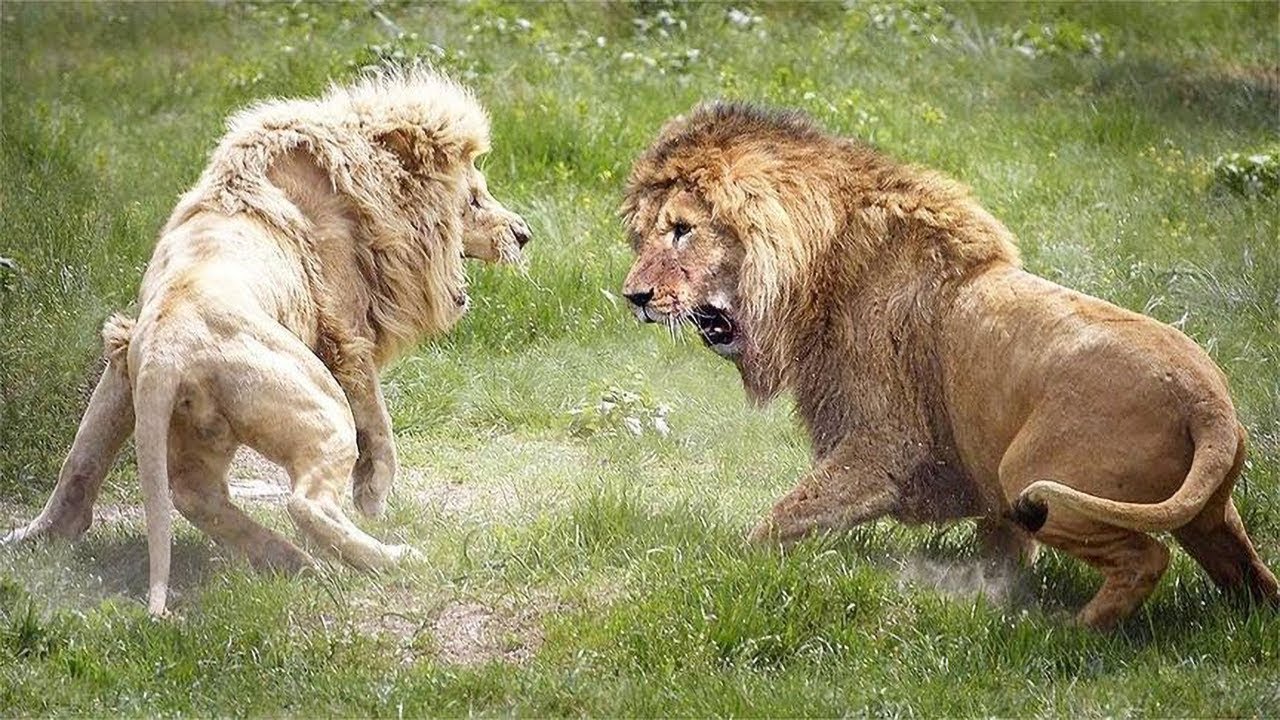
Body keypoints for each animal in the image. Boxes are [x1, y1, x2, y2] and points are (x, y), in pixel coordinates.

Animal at [2, 68, 531, 615]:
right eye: (475, 199)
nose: (524, 234)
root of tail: (168, 348)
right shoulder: (345, 332)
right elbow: (379, 419)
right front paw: (375, 493)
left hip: (147, 381)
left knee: (155, 483)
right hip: (321, 402)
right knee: (305, 503)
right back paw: (386, 559)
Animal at [620, 101, 1278, 629]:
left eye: (681, 230)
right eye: (642, 237)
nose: (633, 296)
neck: (814, 272)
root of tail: (1210, 405)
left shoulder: (885, 447)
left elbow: (777, 523)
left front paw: (724, 566)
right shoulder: (985, 490)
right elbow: (1000, 556)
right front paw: (991, 593)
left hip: (1033, 477)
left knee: (1148, 557)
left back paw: (1068, 631)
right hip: (1205, 515)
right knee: (1248, 575)